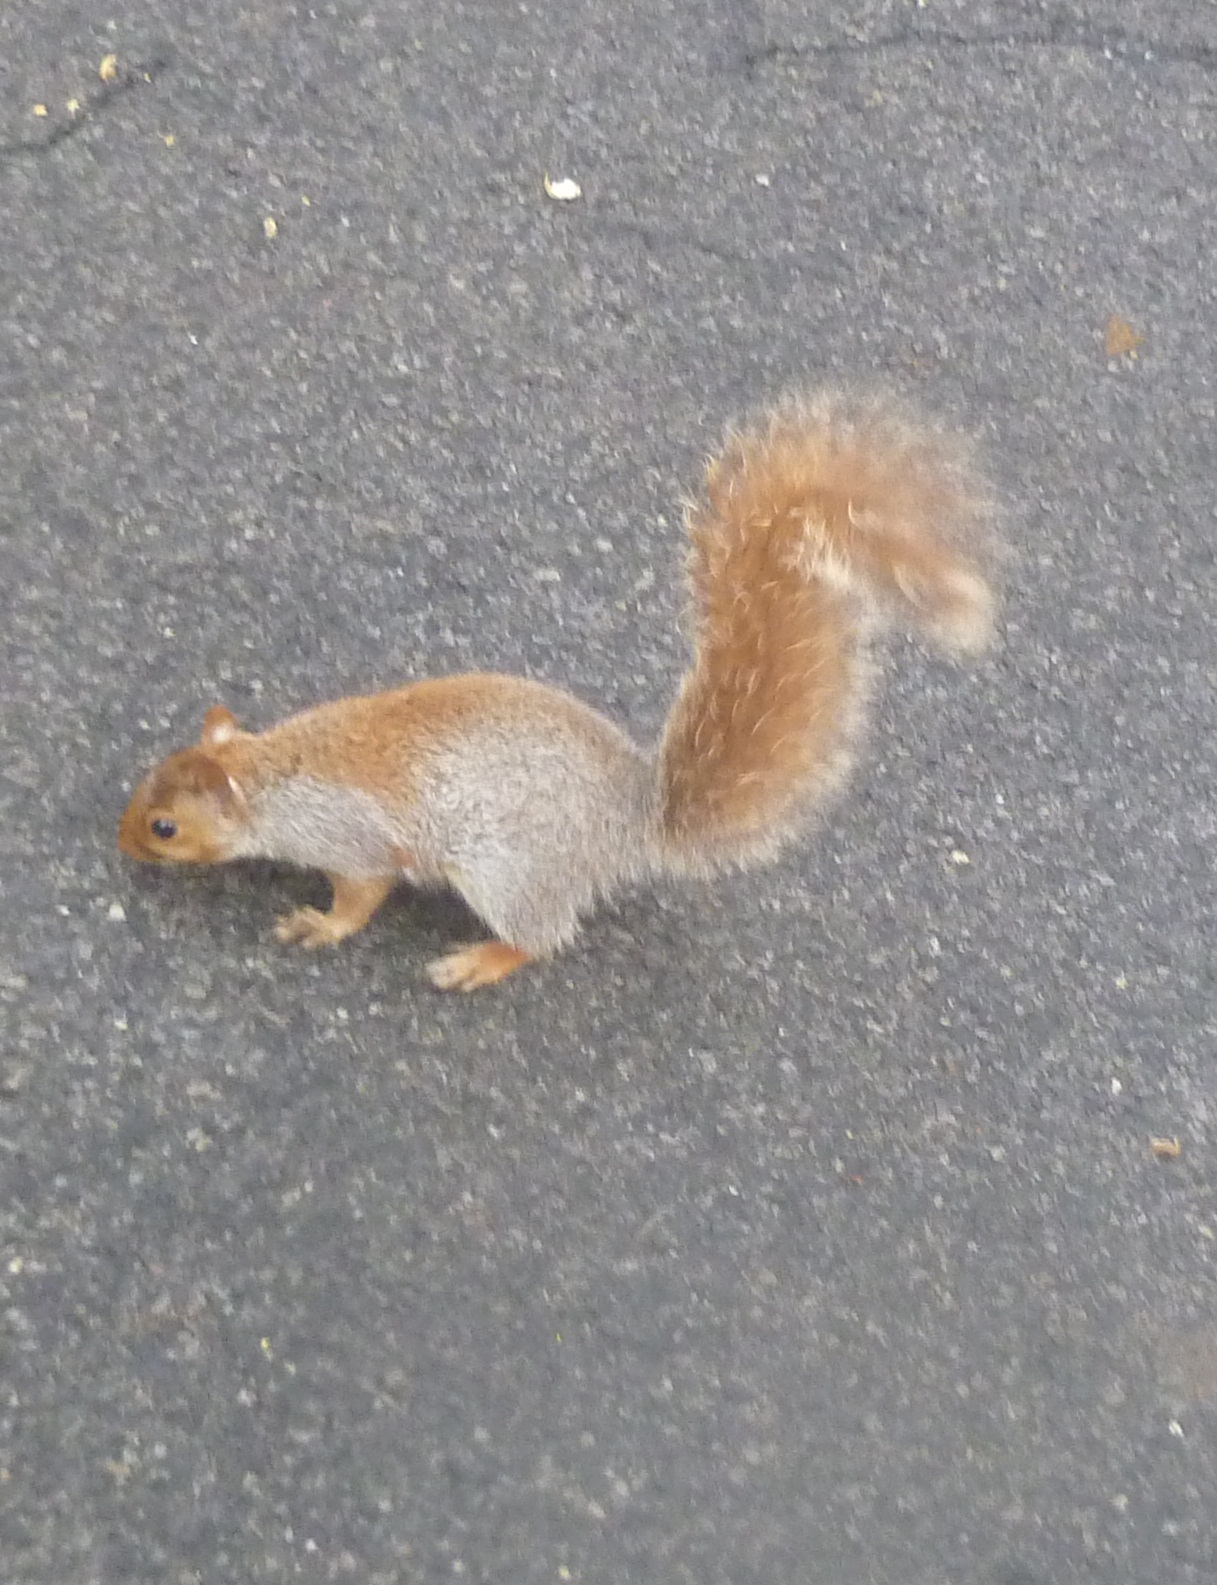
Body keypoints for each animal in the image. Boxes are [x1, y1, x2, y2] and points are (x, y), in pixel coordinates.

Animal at [118, 391, 1000, 991]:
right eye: (142, 788)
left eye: (165, 826)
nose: (121, 844)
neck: (271, 772)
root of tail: (631, 824)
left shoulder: (351, 839)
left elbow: (362, 894)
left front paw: (320, 925)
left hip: (506, 871)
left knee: (543, 937)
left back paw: (479, 959)